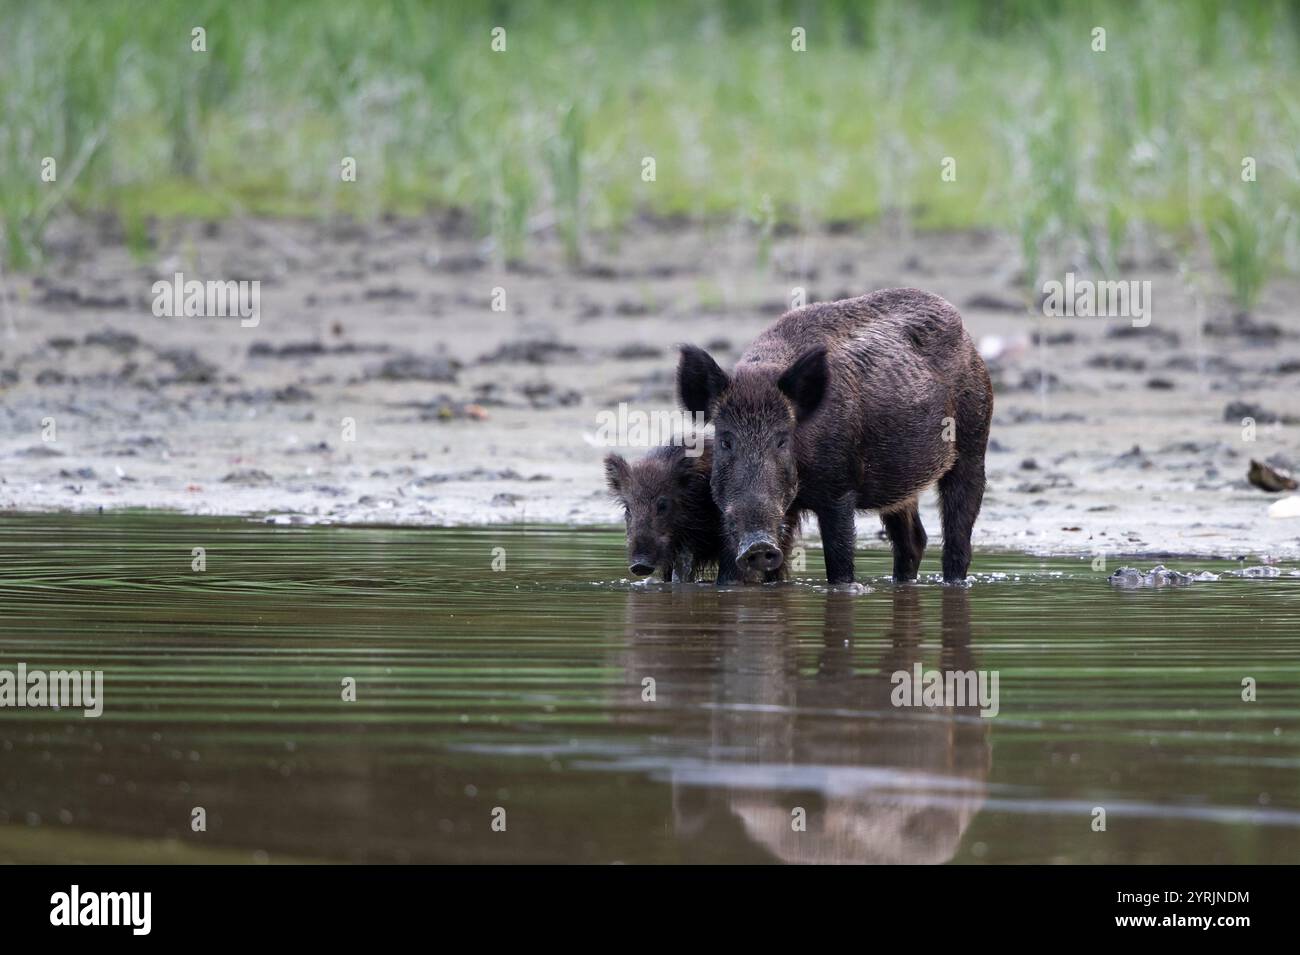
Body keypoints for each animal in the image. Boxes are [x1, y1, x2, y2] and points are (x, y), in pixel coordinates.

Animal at [676, 287, 992, 584]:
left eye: (782, 440)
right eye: (726, 441)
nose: (758, 545)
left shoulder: (840, 491)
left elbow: (840, 567)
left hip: (974, 445)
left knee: (957, 540)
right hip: (902, 484)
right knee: (913, 540)